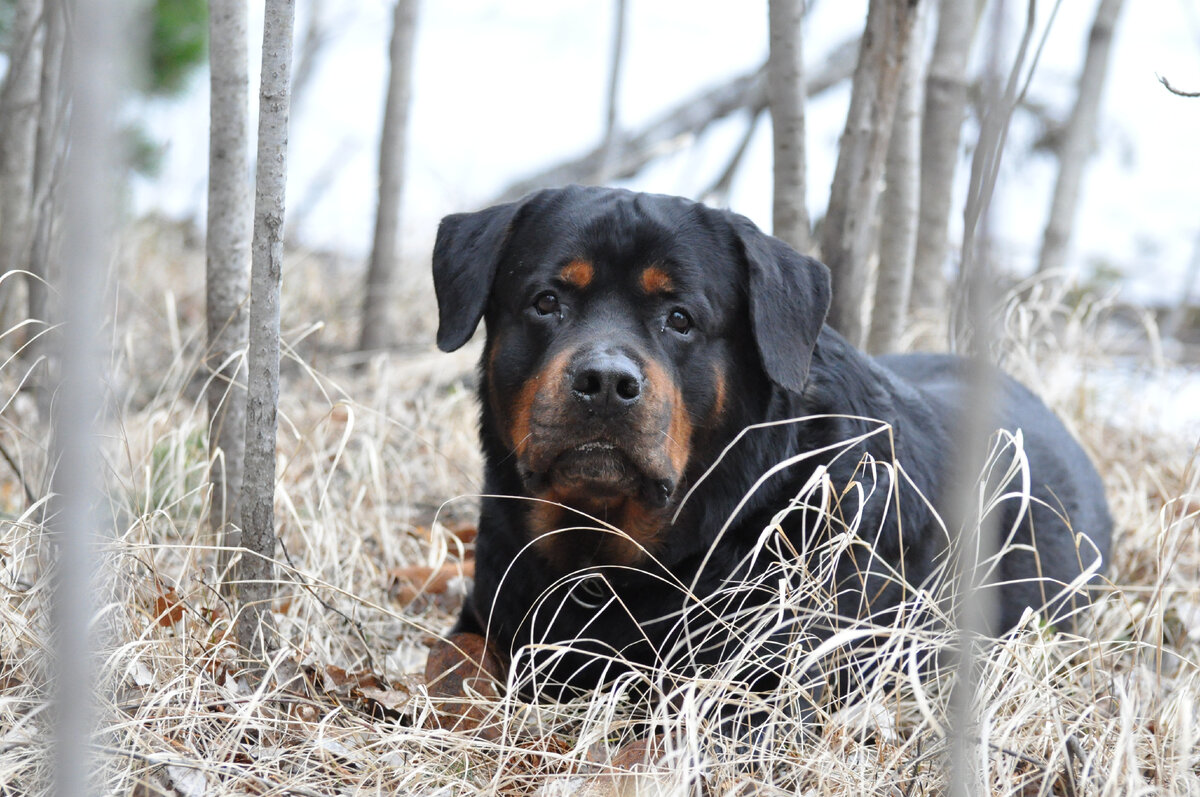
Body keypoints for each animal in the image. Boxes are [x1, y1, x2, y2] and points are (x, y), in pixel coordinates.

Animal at [427, 188, 1108, 720]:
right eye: (547, 302)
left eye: (680, 318)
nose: (605, 380)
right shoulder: (485, 608)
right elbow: (451, 657)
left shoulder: (761, 682)